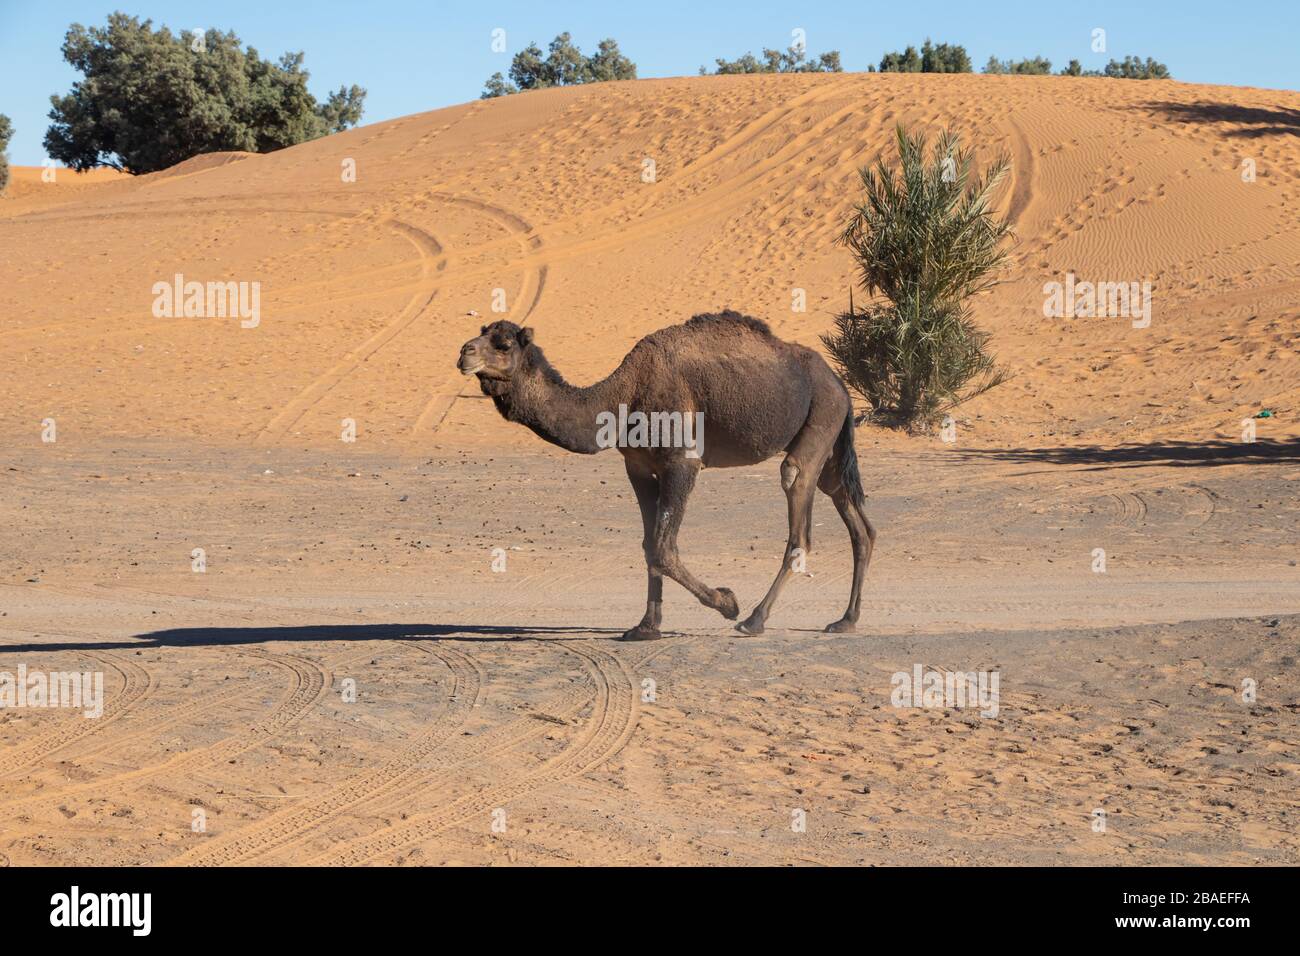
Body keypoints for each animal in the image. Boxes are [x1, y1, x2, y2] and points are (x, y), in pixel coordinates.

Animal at [457, 311, 876, 640]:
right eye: (482, 332)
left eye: (503, 344)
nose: (464, 352)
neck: (623, 397)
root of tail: (840, 383)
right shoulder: (639, 468)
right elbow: (648, 546)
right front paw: (646, 627)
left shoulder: (681, 462)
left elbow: (662, 547)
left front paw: (727, 602)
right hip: (831, 443)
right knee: (859, 523)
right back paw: (846, 619)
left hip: (821, 415)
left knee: (797, 505)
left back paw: (754, 619)